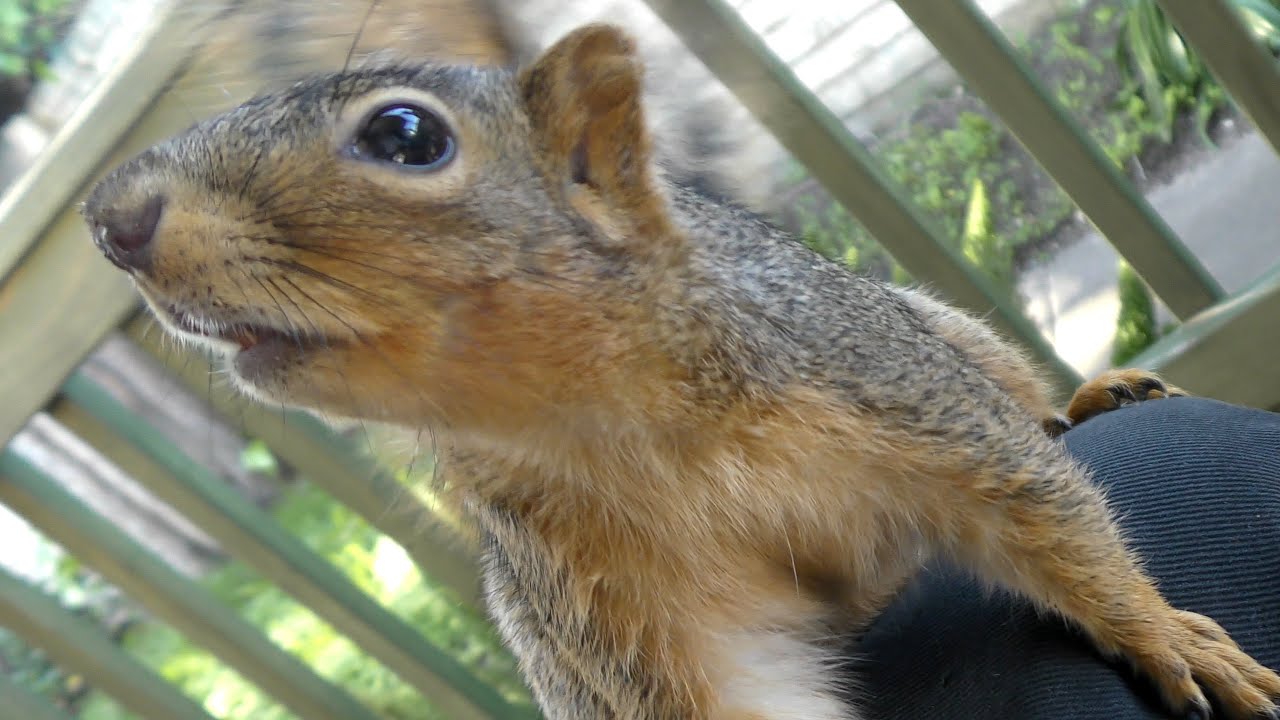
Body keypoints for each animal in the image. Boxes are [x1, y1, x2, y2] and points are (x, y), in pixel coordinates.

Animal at [83, 23, 1279, 720]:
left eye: (406, 136)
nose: (111, 218)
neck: (615, 421)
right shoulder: (611, 611)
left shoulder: (896, 394)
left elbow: (1049, 517)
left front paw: (1166, 636)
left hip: (934, 332)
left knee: (1026, 406)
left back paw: (1095, 394)